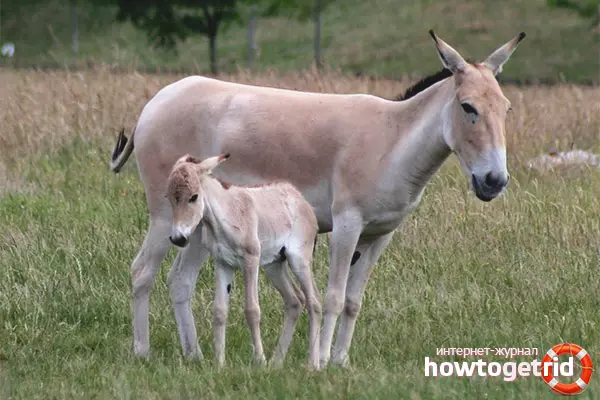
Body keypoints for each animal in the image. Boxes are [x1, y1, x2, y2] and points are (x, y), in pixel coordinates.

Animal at [166, 152, 322, 368]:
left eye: (194, 197)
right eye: (169, 198)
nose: (178, 239)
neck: (225, 215)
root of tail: (299, 198)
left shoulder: (251, 260)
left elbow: (252, 310)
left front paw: (259, 361)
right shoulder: (223, 263)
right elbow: (219, 311)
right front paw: (219, 363)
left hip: (299, 260)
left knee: (314, 302)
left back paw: (312, 365)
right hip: (274, 265)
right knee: (295, 300)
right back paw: (276, 363)